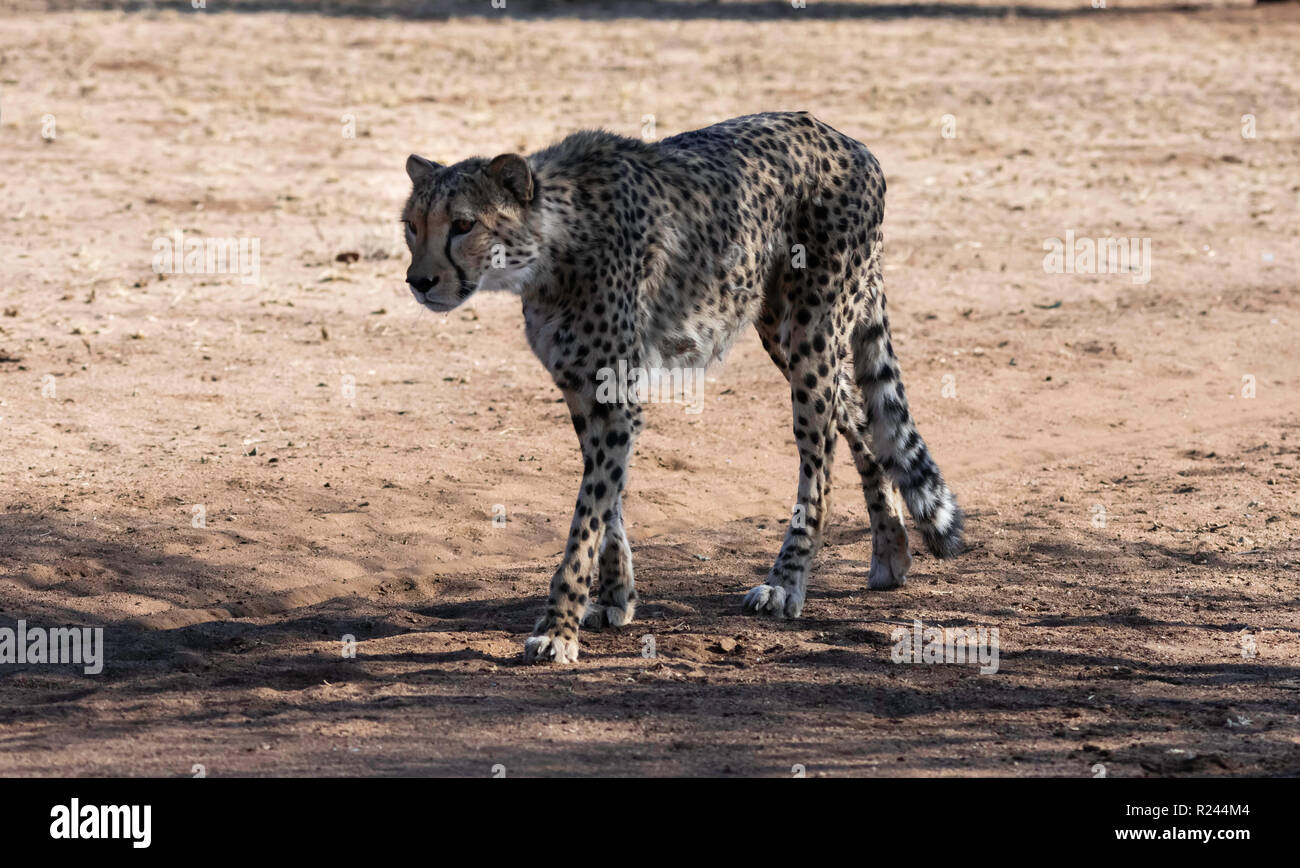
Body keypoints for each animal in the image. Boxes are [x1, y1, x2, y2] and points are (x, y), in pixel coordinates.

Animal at [400, 111, 964, 664]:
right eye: (411, 226)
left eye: (464, 225)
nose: (418, 282)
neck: (553, 244)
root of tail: (846, 139)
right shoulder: (584, 390)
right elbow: (608, 503)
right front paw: (616, 598)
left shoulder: (614, 397)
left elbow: (587, 519)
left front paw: (560, 628)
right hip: (783, 335)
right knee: (860, 422)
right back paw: (890, 548)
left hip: (812, 337)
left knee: (819, 466)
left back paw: (786, 584)